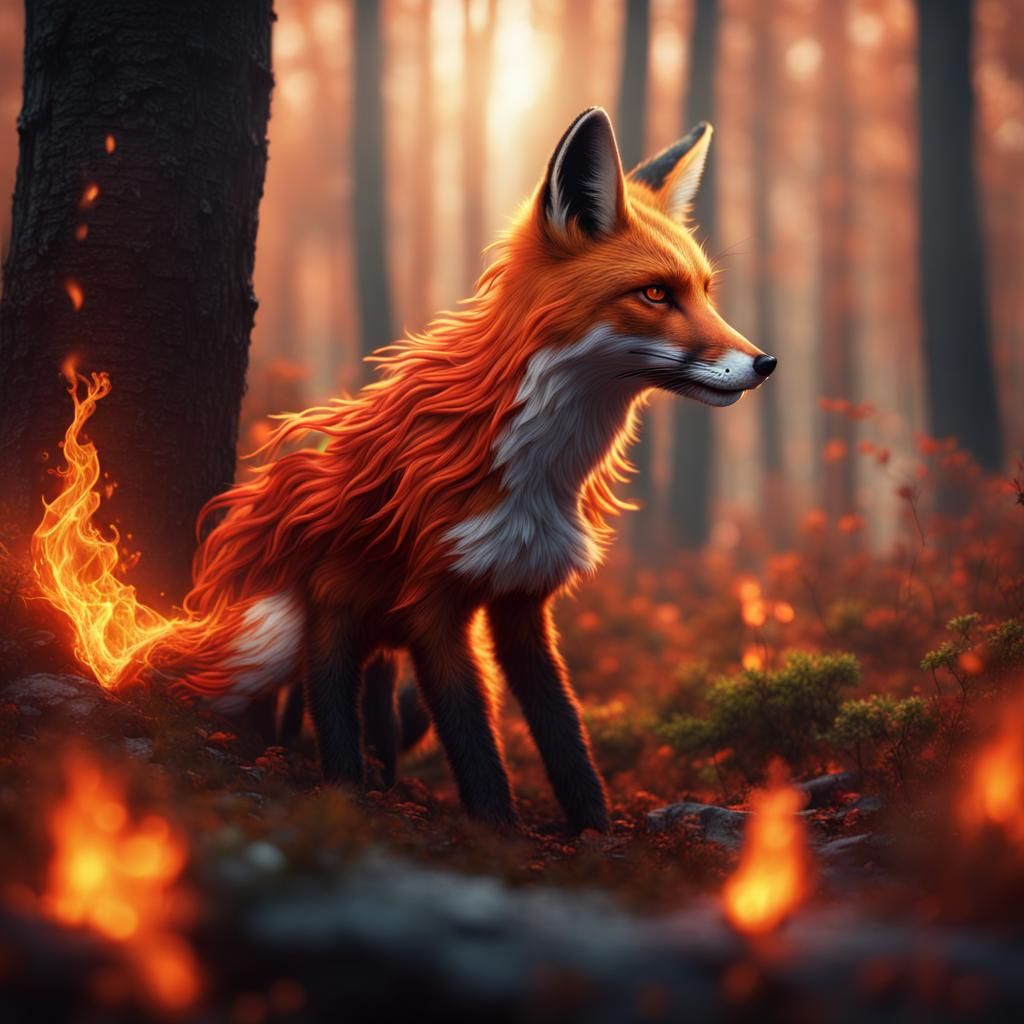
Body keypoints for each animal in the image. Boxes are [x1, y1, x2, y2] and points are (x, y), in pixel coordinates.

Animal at [41, 108, 776, 832]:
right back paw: (342, 790)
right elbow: (472, 741)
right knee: (324, 706)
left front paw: (593, 834)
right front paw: (496, 836)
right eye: (654, 293)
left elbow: (564, 732)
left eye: (705, 292)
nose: (765, 363)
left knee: (369, 715)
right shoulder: (432, 607)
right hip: (306, 620)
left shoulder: (522, 599)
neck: (536, 477)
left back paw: (381, 781)